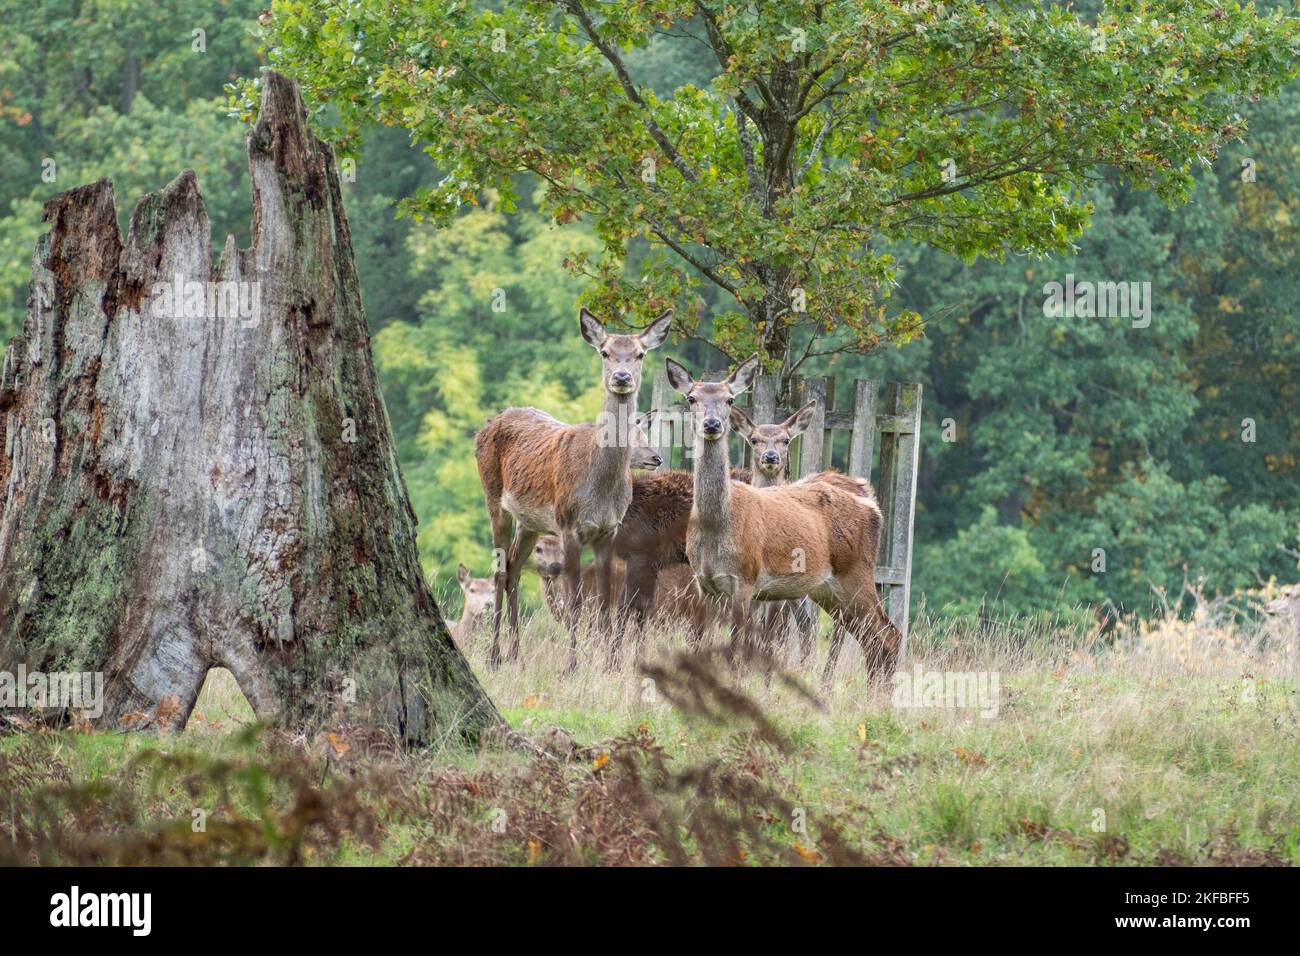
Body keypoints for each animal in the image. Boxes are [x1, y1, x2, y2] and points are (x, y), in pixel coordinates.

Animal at [475, 308, 671, 668]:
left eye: (640, 353)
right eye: (605, 351)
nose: (621, 377)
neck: (600, 487)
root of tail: (490, 422)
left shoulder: (609, 529)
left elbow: (607, 598)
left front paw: (611, 663)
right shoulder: (568, 525)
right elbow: (576, 599)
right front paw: (571, 665)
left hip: (530, 521)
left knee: (513, 570)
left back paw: (516, 655)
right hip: (494, 498)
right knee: (498, 571)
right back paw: (494, 656)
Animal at [665, 356, 901, 679]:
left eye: (730, 399)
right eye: (692, 398)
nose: (712, 424)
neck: (717, 526)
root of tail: (874, 507)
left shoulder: (746, 581)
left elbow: (738, 650)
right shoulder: (704, 584)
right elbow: (699, 644)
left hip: (857, 572)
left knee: (888, 634)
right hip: (828, 590)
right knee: (869, 638)